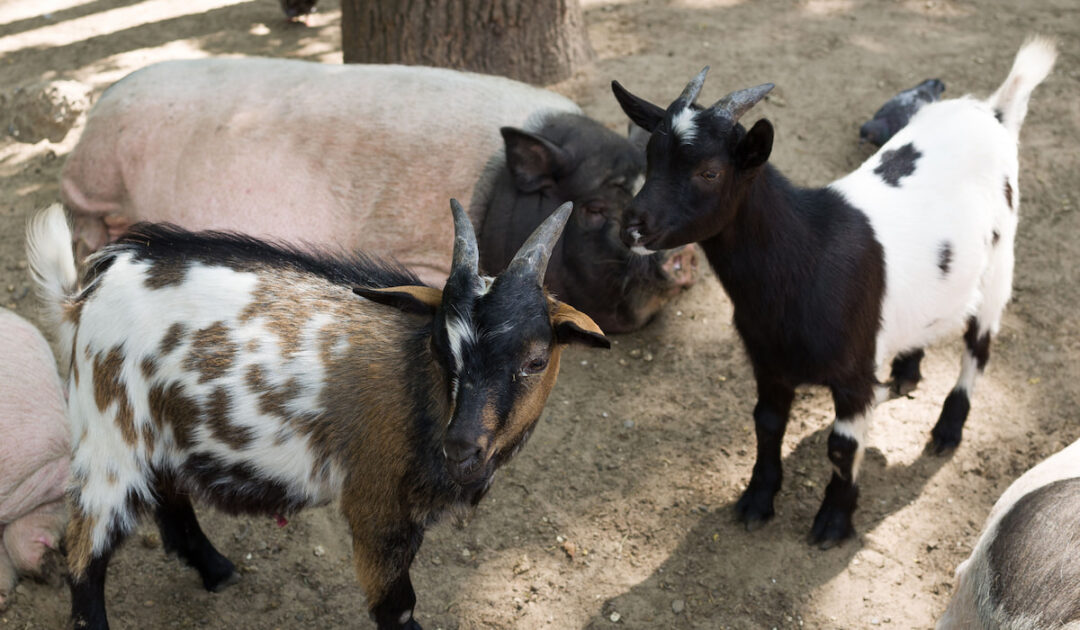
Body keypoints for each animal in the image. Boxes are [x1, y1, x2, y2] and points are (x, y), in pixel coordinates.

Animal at [26, 200, 609, 630]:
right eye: (441, 349)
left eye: (535, 360)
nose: (462, 448)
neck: (419, 393)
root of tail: (84, 295)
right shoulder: (376, 510)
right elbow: (398, 608)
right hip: (109, 440)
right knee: (84, 557)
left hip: (157, 431)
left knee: (167, 497)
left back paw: (217, 570)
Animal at [610, 37, 1056, 546]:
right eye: (650, 157)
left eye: (709, 172)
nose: (632, 226)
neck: (808, 257)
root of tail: (991, 111)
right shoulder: (769, 361)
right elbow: (766, 424)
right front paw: (757, 500)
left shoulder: (853, 372)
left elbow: (842, 447)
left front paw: (834, 522)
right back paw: (906, 372)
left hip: (1000, 263)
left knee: (978, 346)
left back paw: (947, 429)